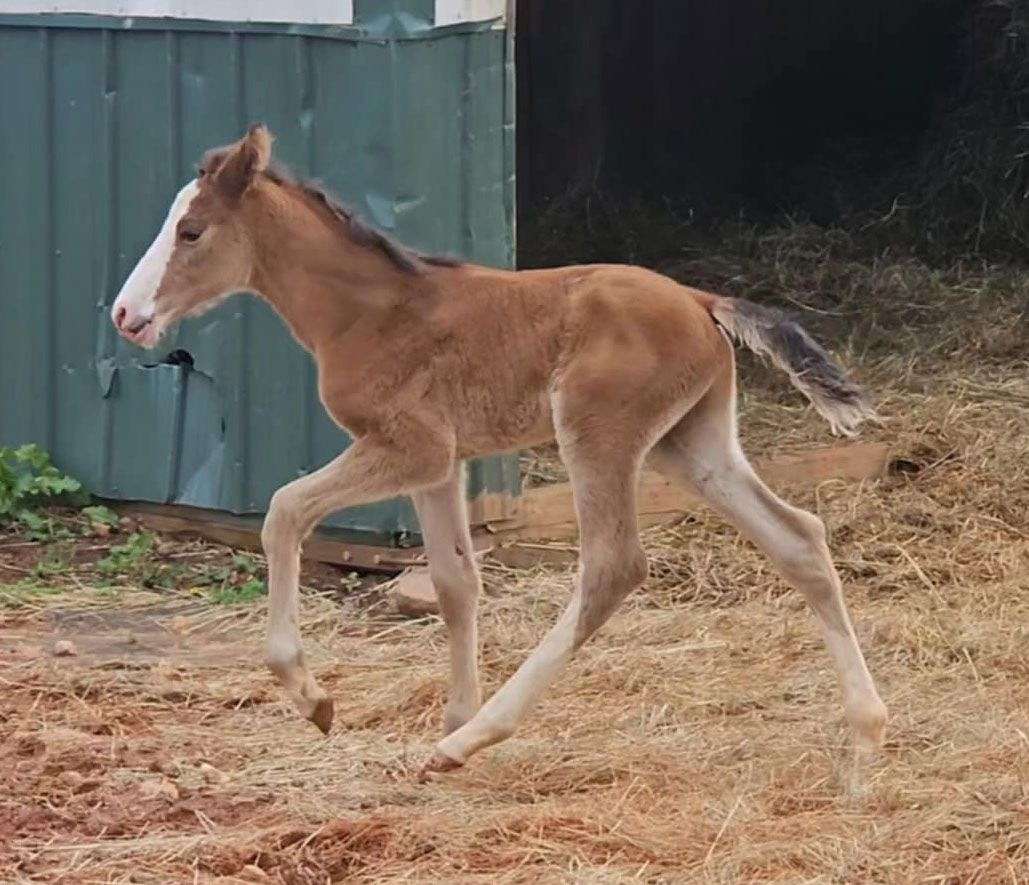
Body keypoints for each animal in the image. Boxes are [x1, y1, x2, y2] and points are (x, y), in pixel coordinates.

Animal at [111, 125, 886, 785]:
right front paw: (450, 713)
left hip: (597, 434)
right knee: (799, 538)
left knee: (613, 567)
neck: (368, 313)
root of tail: (701, 300)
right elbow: (455, 581)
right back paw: (864, 736)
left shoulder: (408, 446)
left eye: (191, 231)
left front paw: (314, 697)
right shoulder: (440, 464)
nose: (125, 314)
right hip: (691, 443)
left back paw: (475, 737)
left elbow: (282, 511)